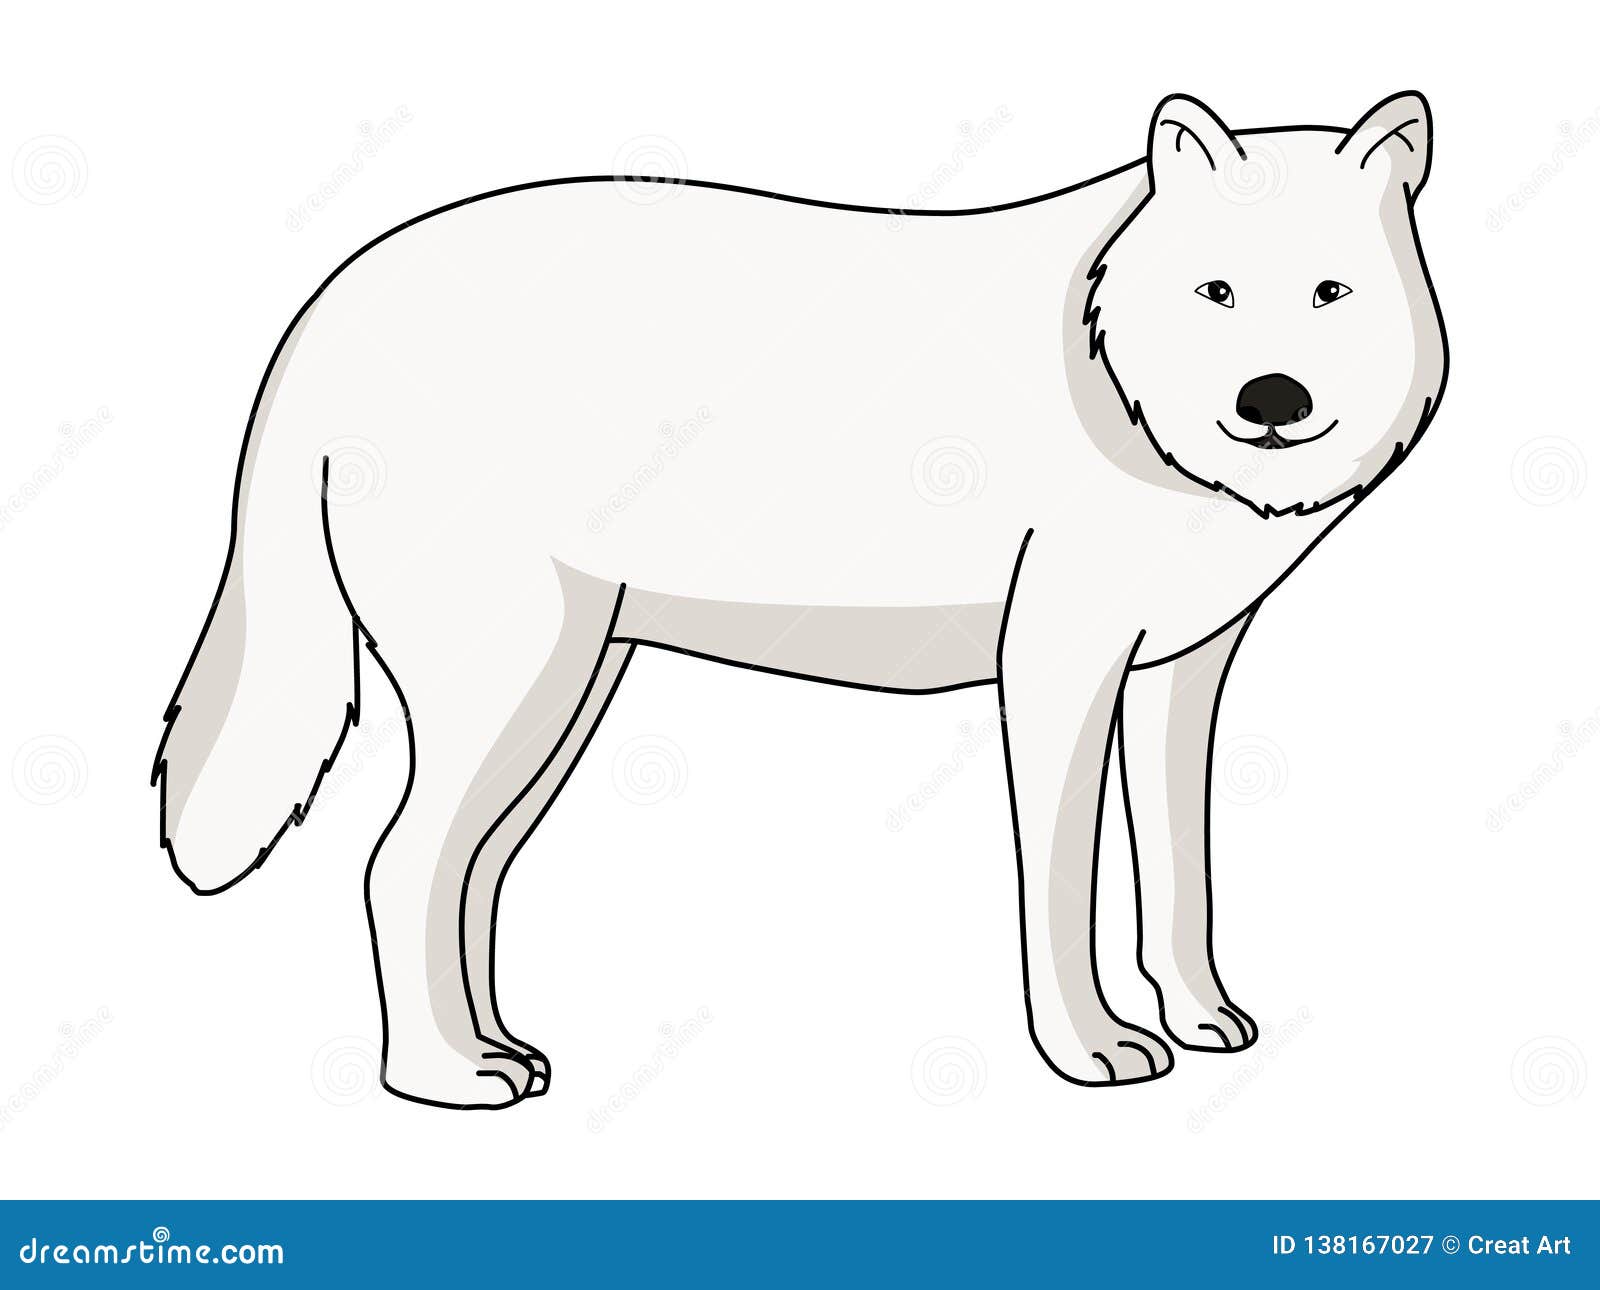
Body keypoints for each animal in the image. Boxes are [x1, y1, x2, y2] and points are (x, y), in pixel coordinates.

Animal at [154, 93, 1446, 1108]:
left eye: (1328, 293)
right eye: (1215, 291)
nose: (1270, 399)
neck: (1115, 379)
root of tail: (323, 305)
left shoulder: (1183, 670)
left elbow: (1181, 869)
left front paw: (1201, 1019)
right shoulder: (1056, 667)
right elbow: (1062, 879)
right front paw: (1092, 1051)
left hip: (567, 698)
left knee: (466, 872)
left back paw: (499, 1052)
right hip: (521, 687)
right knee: (397, 861)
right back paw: (442, 1081)